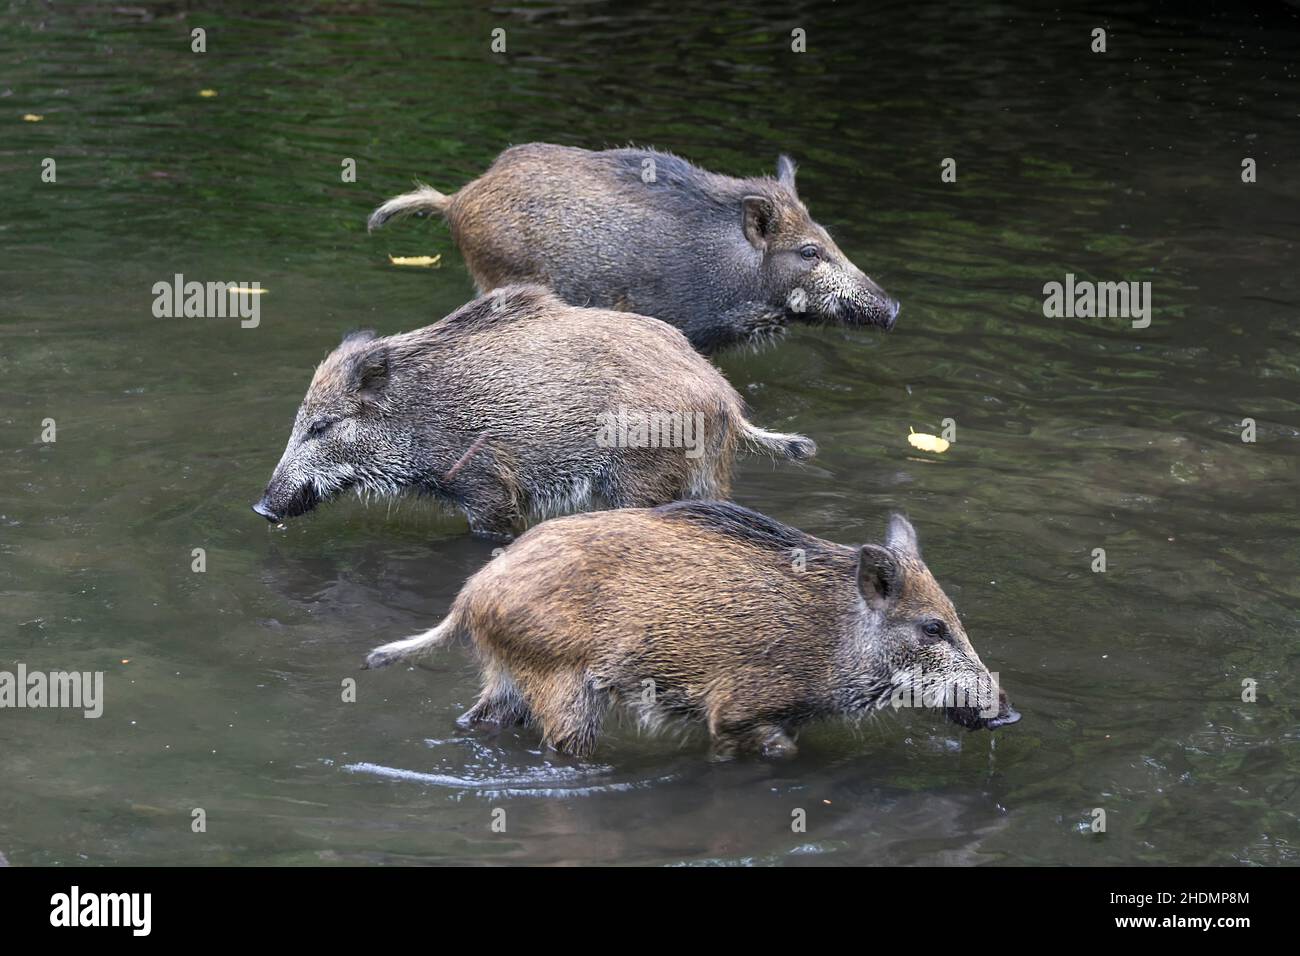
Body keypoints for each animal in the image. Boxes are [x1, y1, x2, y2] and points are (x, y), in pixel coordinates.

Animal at [251, 285, 815, 540]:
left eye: (321, 425)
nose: (261, 508)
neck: (418, 412)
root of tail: (724, 399)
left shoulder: (489, 487)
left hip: (641, 477)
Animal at [363, 502, 1020, 759]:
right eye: (933, 627)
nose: (1007, 712)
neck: (837, 639)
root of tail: (471, 594)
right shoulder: (737, 711)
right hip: (561, 685)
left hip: (508, 679)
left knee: (476, 720)